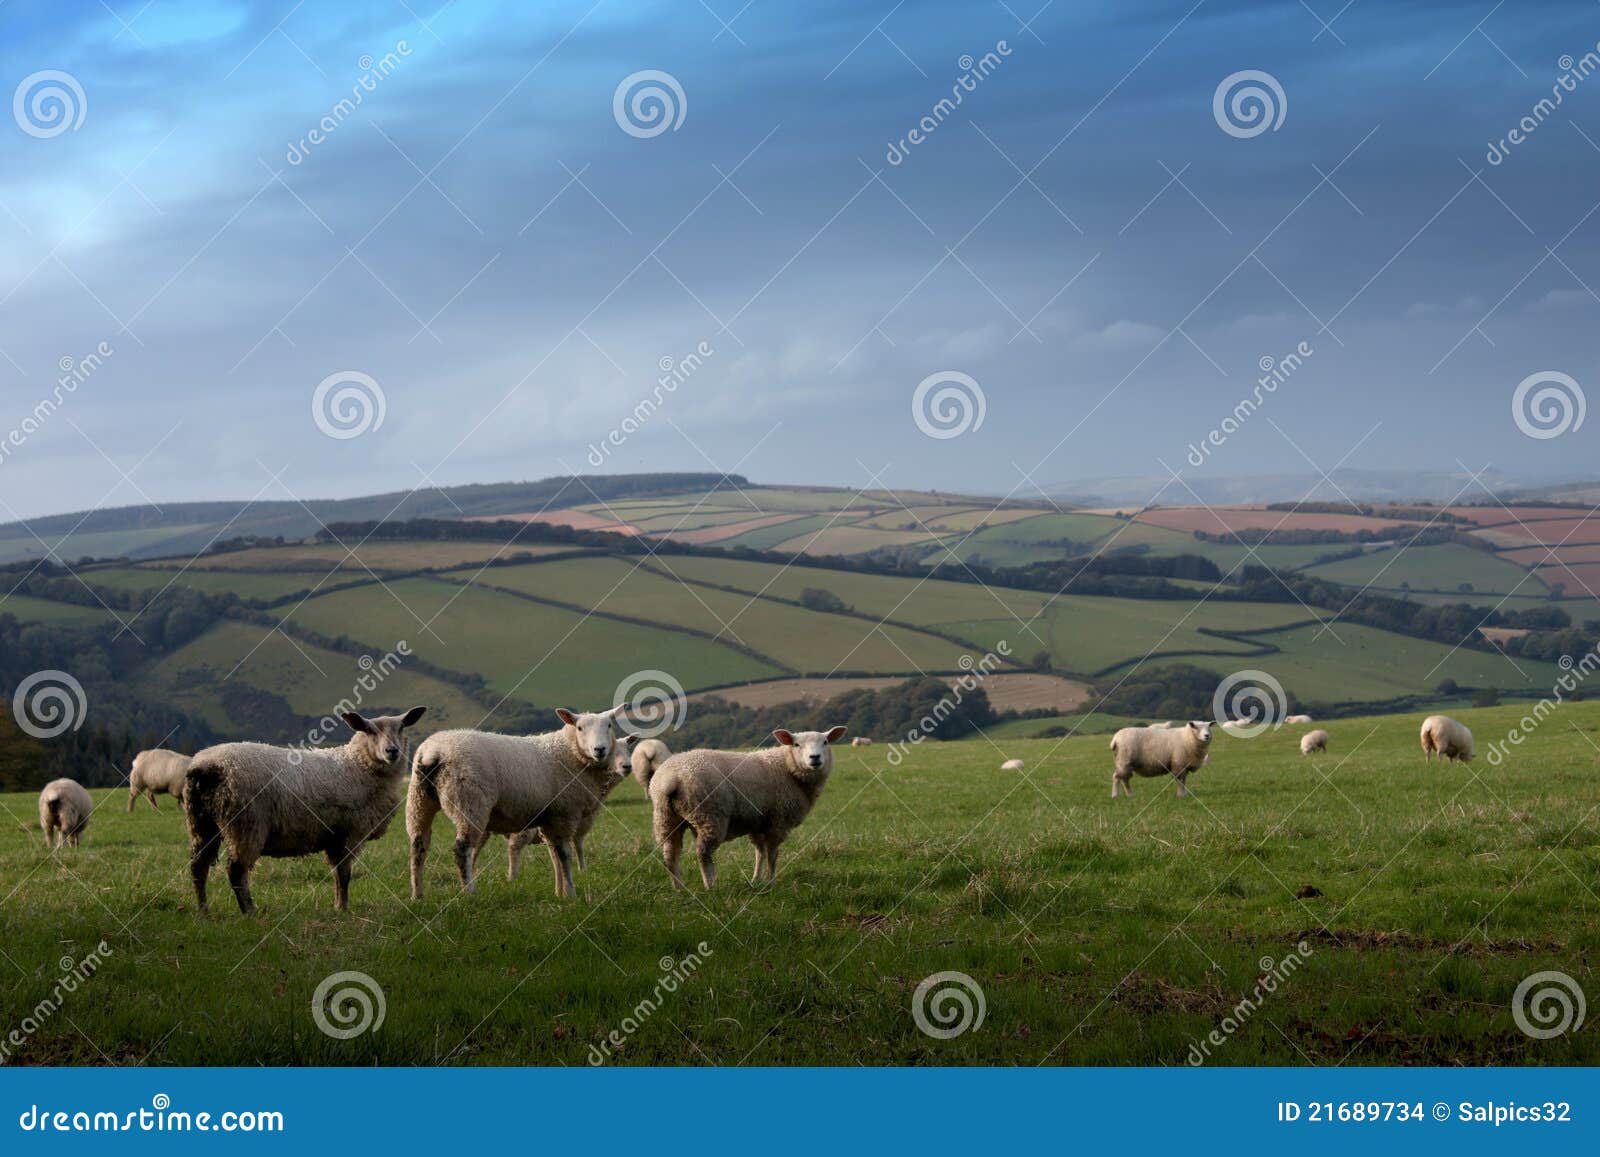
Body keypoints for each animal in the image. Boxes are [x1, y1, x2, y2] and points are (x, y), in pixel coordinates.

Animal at [183, 706, 426, 914]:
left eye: (401, 727)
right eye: (369, 730)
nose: (392, 751)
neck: (357, 765)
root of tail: (205, 766)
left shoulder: (334, 837)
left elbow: (337, 874)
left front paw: (337, 906)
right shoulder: (349, 833)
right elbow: (344, 874)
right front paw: (343, 907)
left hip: (201, 823)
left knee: (198, 866)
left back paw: (203, 910)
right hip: (245, 824)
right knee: (236, 871)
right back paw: (249, 911)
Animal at [407, 706, 626, 899]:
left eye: (609, 725)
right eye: (580, 728)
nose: (599, 749)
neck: (568, 752)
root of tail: (433, 752)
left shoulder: (550, 819)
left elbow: (555, 856)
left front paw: (559, 893)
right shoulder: (564, 814)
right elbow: (564, 855)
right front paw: (571, 894)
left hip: (419, 801)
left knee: (419, 845)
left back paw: (418, 895)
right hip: (469, 803)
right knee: (462, 850)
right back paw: (470, 893)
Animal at [650, 726, 846, 890]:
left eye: (825, 742)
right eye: (797, 744)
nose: (815, 758)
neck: (788, 768)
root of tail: (672, 778)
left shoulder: (758, 822)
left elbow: (760, 853)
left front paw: (756, 880)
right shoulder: (778, 821)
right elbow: (772, 855)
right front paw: (771, 881)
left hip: (666, 818)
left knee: (670, 854)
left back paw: (679, 889)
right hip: (710, 816)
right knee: (703, 853)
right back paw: (710, 886)